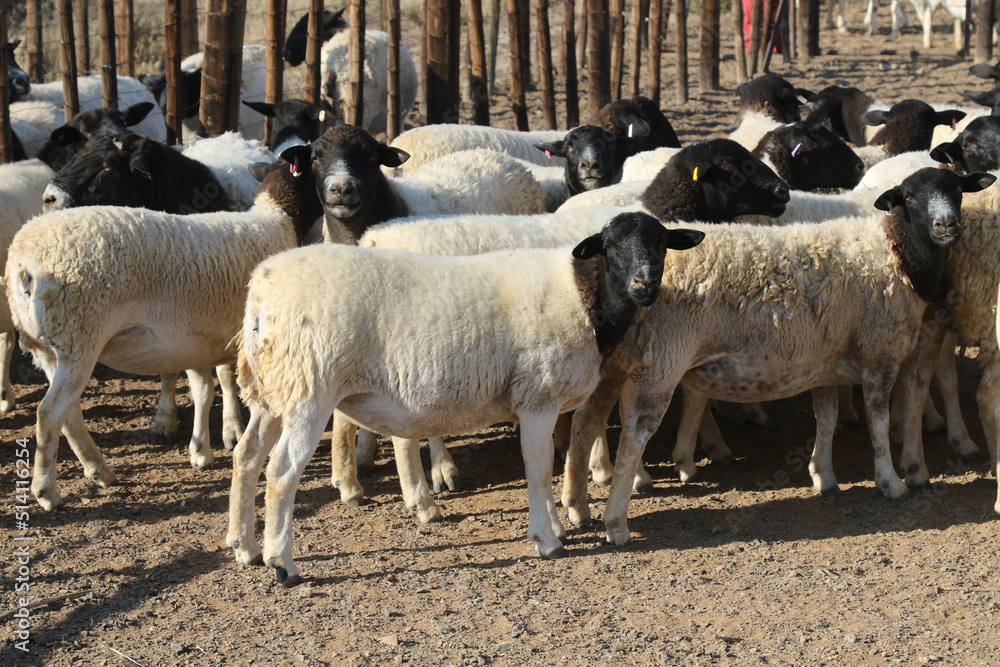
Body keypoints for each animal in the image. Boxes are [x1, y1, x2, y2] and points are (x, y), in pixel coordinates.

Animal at [5, 155, 325, 511]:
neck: (278, 220)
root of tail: (22, 262)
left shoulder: (196, 338)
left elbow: (204, 390)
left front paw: (200, 450)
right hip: (81, 338)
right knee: (49, 413)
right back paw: (47, 491)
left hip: (49, 348)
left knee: (69, 411)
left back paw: (99, 470)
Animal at [225, 212, 705, 585]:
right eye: (610, 246)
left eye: (662, 244)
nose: (646, 284)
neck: (585, 300)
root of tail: (259, 293)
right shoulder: (538, 395)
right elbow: (538, 468)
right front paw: (547, 540)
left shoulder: (541, 401)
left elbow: (546, 466)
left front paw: (553, 525)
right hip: (310, 390)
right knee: (281, 472)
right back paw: (281, 564)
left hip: (274, 390)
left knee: (247, 457)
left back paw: (245, 548)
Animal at [558, 168, 996, 548]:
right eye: (909, 197)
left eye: (957, 190)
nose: (947, 226)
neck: (894, 254)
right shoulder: (879, 353)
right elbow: (879, 421)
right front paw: (892, 482)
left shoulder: (827, 361)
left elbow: (827, 417)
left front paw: (823, 476)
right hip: (661, 364)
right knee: (632, 437)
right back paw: (616, 521)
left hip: (612, 364)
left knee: (585, 423)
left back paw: (576, 507)